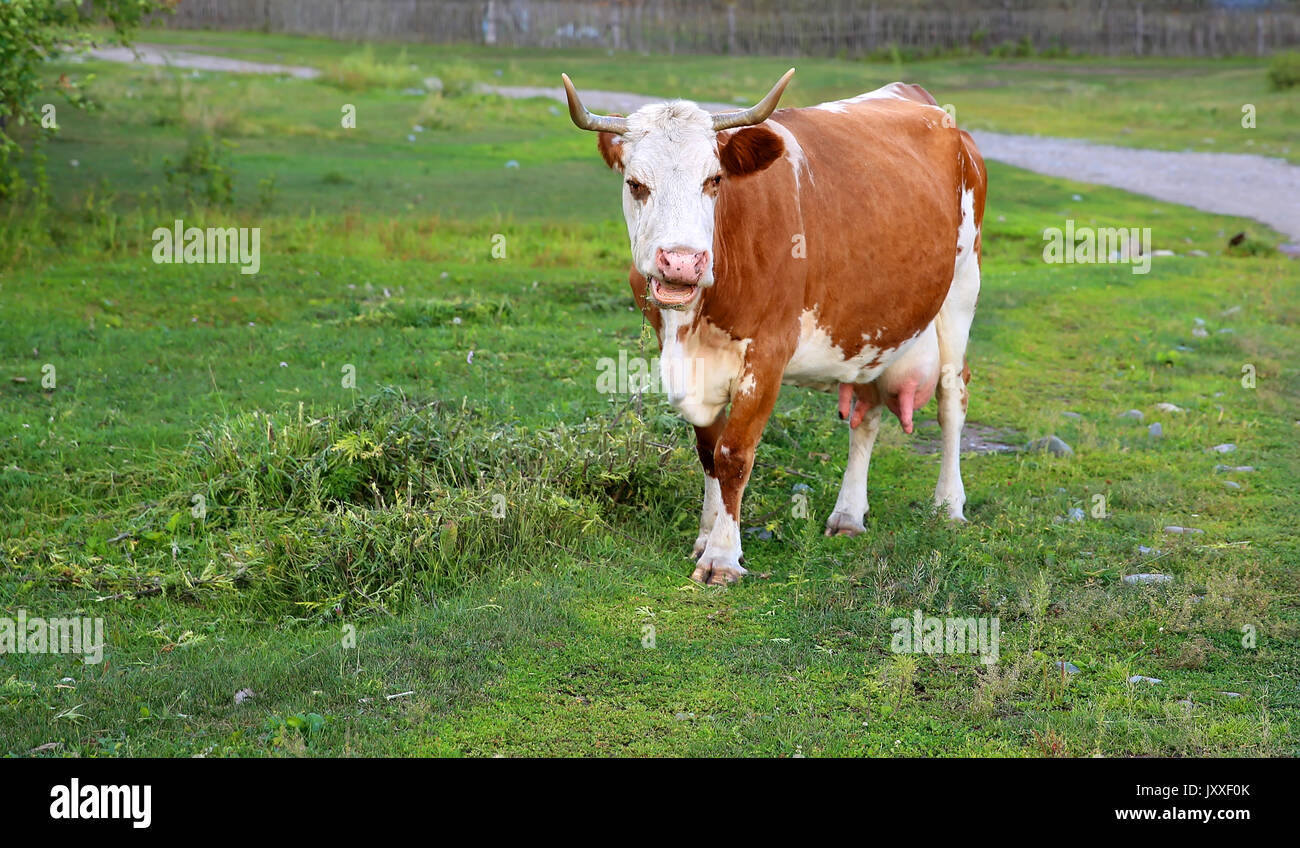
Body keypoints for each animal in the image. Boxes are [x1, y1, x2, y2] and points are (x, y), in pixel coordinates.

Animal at [562, 69, 986, 586]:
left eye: (714, 180)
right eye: (635, 183)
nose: (682, 262)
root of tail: (923, 101)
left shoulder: (767, 353)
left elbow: (734, 454)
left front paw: (722, 557)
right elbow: (708, 449)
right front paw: (705, 536)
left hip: (962, 287)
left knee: (951, 396)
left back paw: (949, 505)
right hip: (872, 327)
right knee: (866, 412)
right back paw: (849, 513)